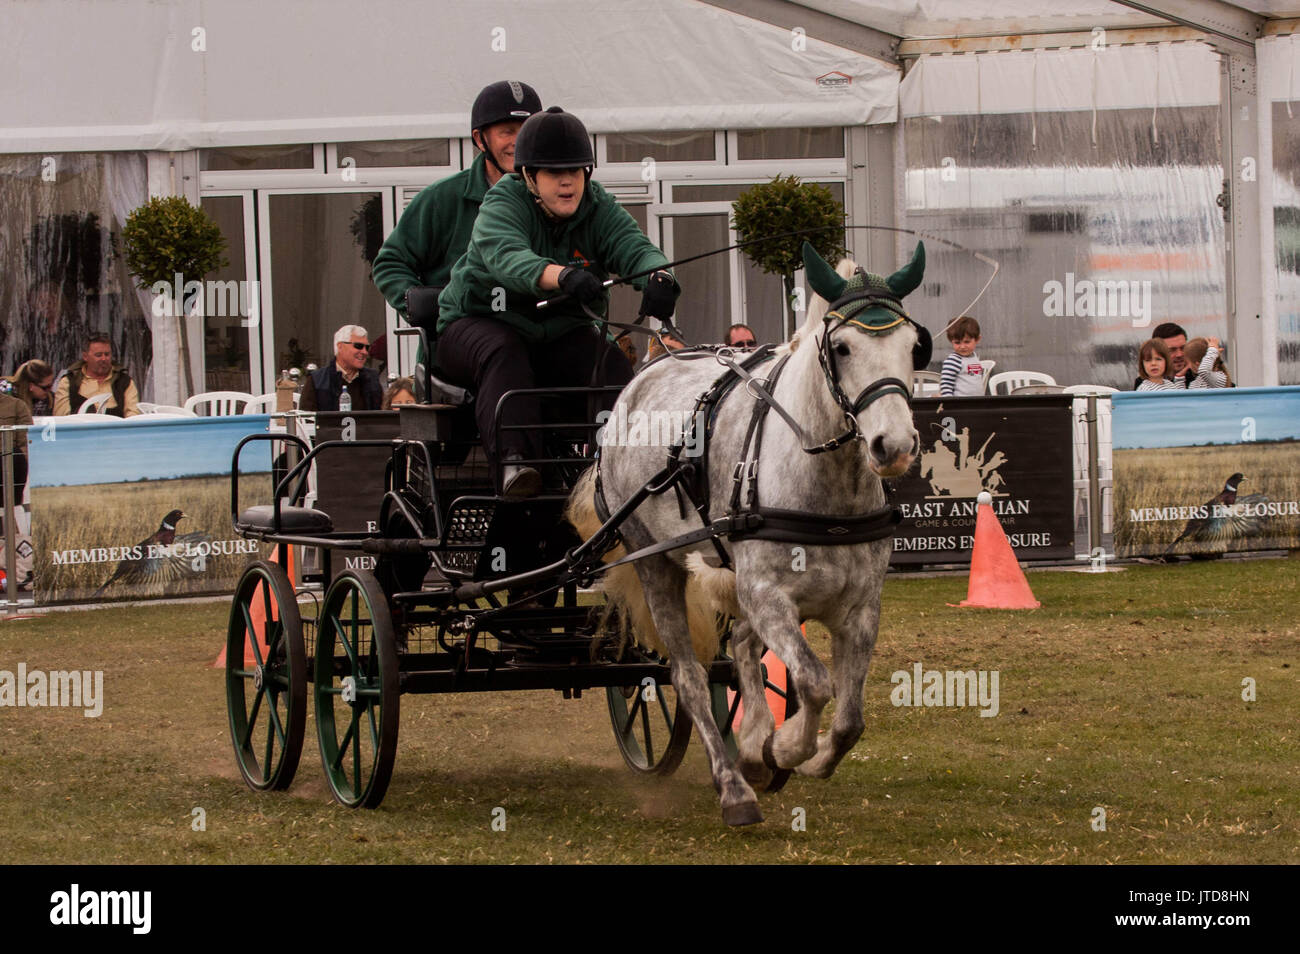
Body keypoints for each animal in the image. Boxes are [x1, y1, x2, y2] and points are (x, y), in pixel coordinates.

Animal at [567, 241, 927, 826]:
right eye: (843, 347)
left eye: (914, 346)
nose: (893, 446)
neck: (827, 486)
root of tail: (644, 372)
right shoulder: (766, 595)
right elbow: (813, 682)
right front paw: (784, 747)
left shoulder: (859, 609)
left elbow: (849, 718)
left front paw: (787, 752)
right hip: (654, 560)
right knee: (689, 677)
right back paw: (734, 786)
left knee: (737, 646)